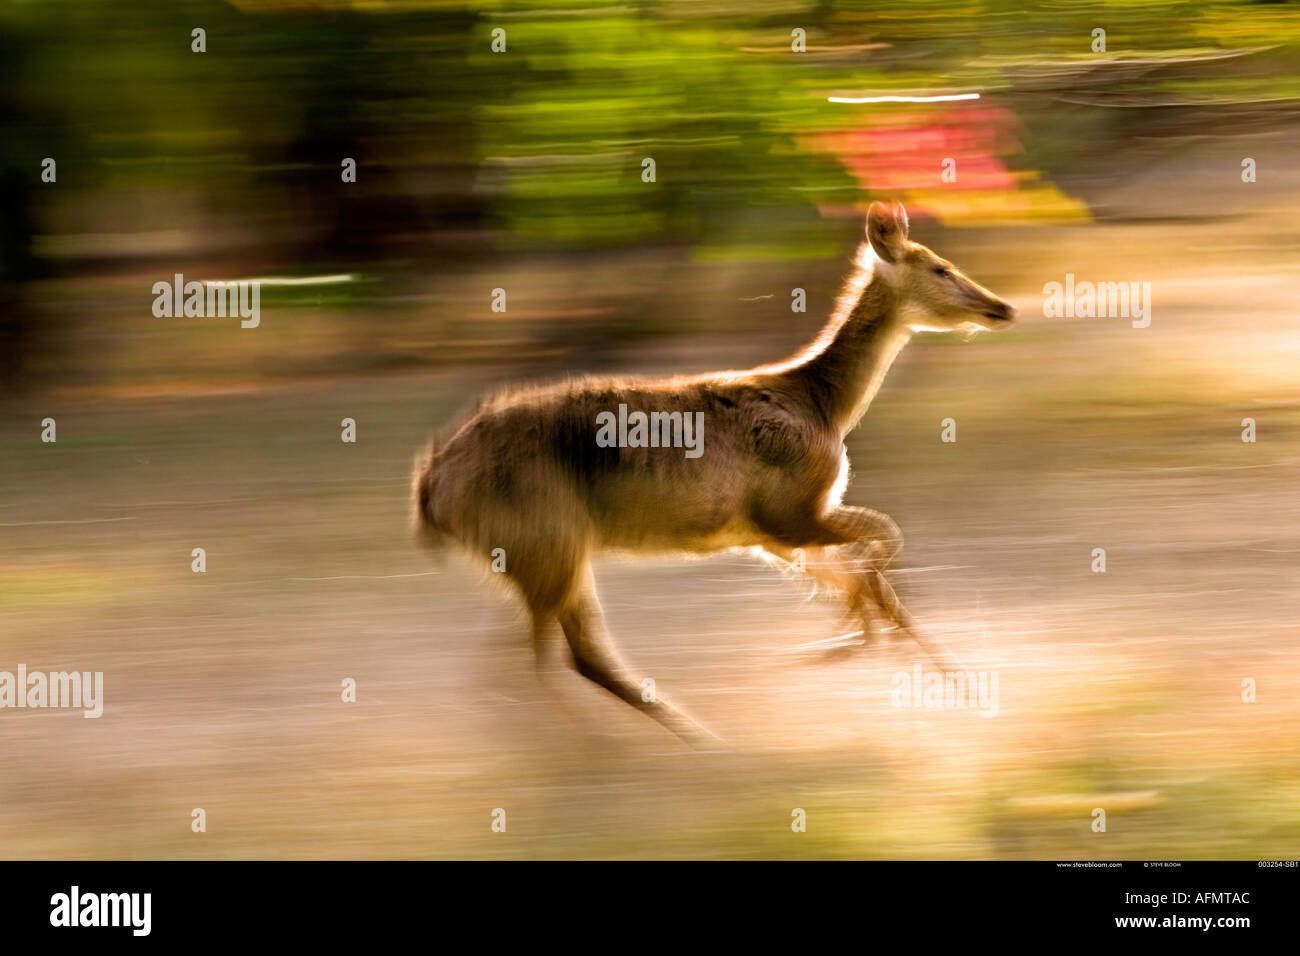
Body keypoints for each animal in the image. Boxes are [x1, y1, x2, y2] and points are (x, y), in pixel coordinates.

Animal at [412, 201, 1015, 746]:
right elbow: (886, 541)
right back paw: (652, 743)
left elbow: (857, 574)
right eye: (940, 268)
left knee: (531, 652)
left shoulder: (768, 533)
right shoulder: (788, 512)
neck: (821, 409)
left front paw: (872, 646)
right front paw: (909, 662)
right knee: (555, 653)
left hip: (535, 551)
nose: (1002, 307)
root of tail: (429, 489)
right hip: (546, 538)